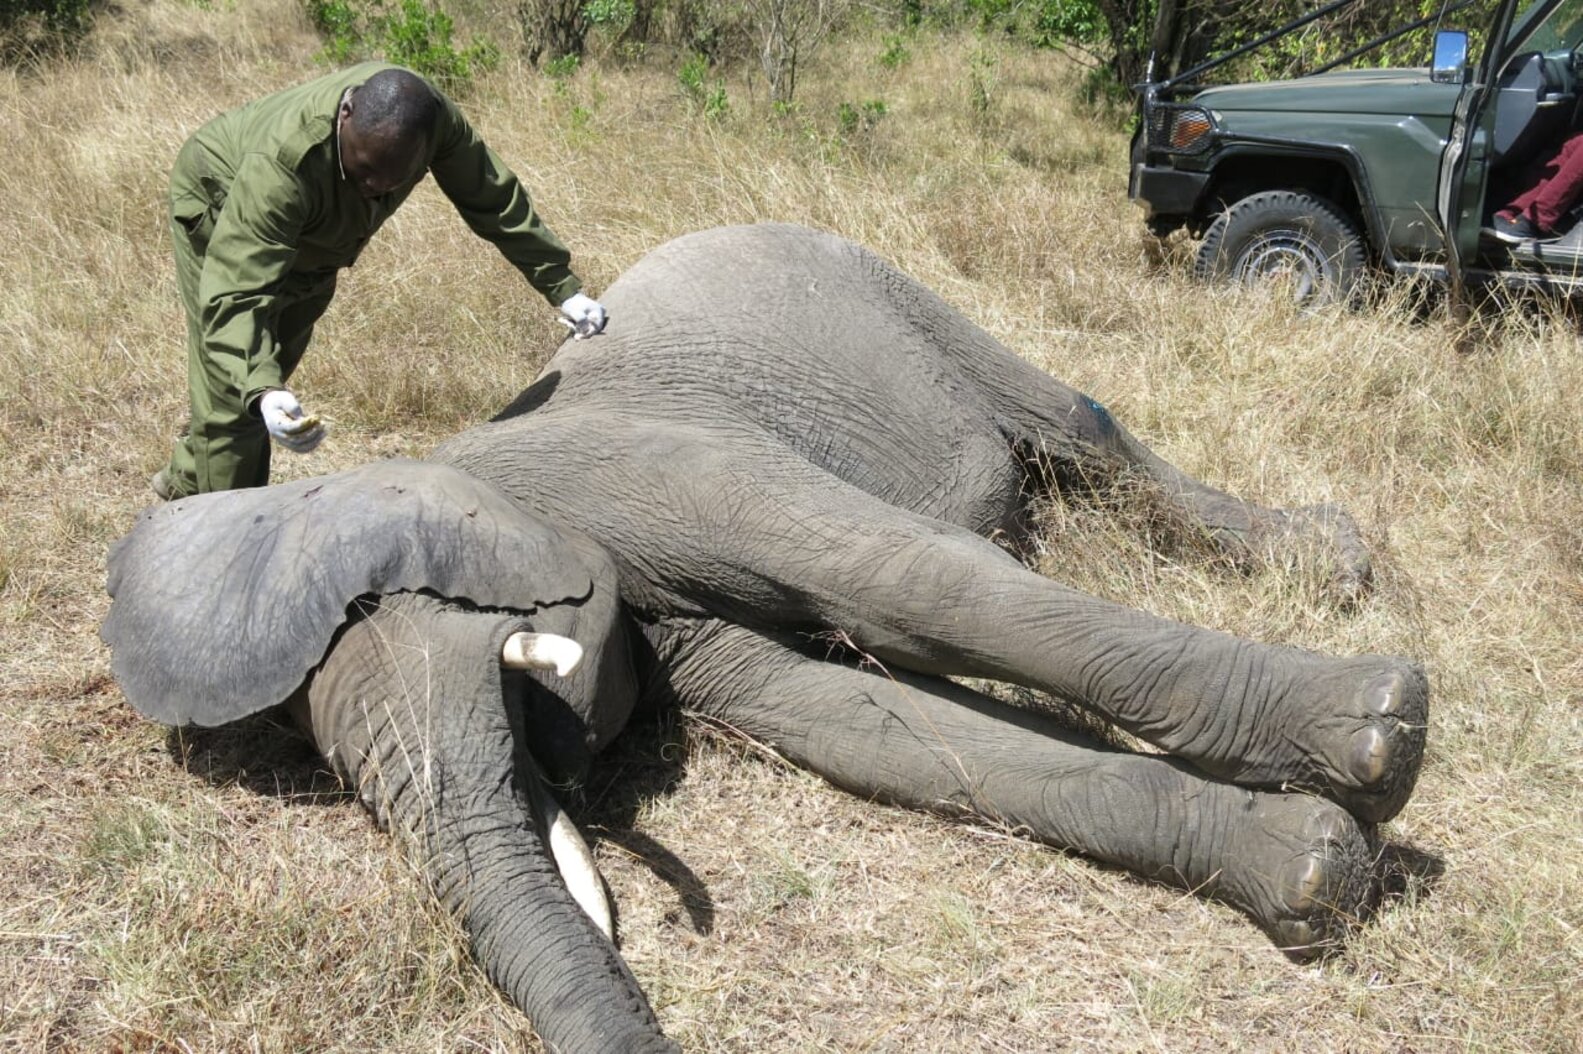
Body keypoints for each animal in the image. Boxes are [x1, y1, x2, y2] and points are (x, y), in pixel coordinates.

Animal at [102, 223, 1428, 1052]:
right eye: (316, 759)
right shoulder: (679, 640)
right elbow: (871, 727)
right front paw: (1312, 873)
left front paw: (1380, 737)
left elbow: (902, 585)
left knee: (1081, 429)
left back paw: (1329, 565)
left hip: (893, 287)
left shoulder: (652, 466)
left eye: (436, 612)